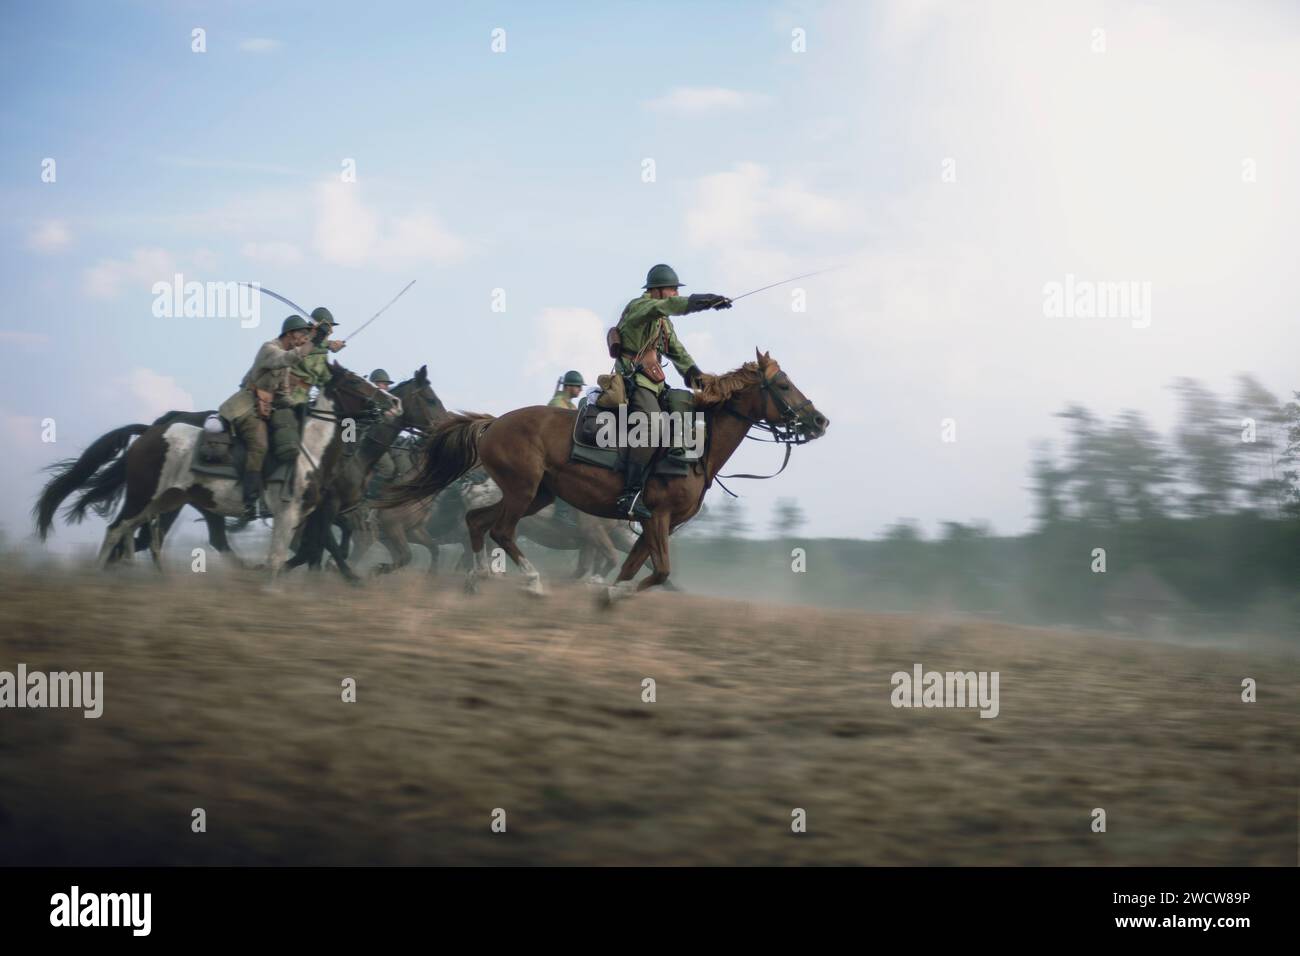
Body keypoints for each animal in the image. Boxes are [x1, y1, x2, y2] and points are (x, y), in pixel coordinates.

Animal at [384, 351, 826, 600]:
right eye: (783, 384)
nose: (819, 420)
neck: (694, 449)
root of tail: (493, 424)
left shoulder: (651, 526)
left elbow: (636, 566)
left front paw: (611, 591)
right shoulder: (655, 518)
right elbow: (657, 570)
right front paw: (611, 592)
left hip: (536, 494)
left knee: (477, 522)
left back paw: (477, 578)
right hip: (523, 491)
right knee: (501, 531)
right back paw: (533, 582)